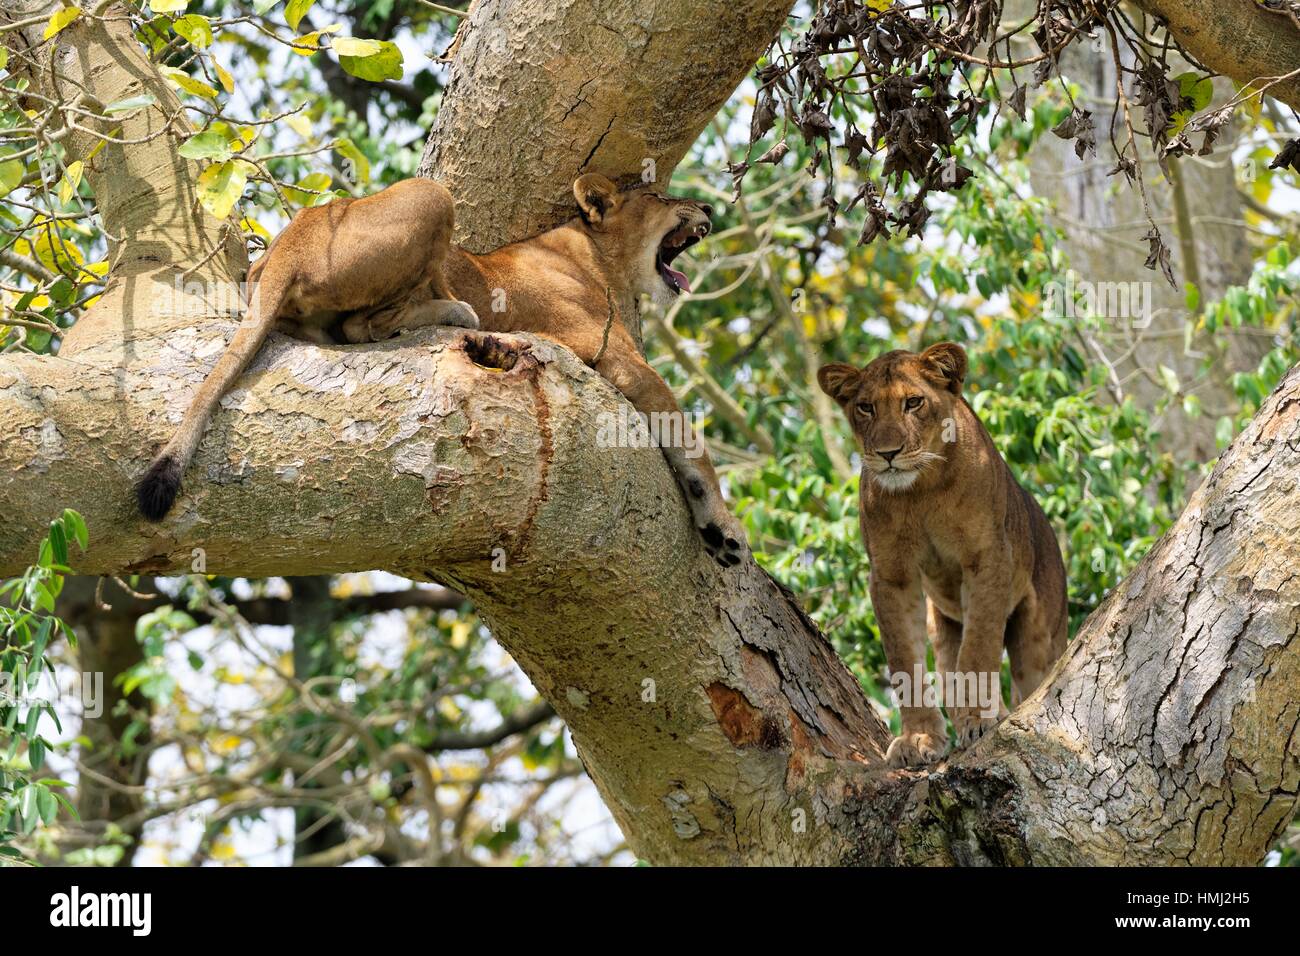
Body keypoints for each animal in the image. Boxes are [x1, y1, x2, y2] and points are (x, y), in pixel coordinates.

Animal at [136, 174, 747, 568]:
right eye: (662, 197)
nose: (711, 211)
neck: (601, 259)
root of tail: (292, 240)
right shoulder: (611, 356)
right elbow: (688, 436)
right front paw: (722, 527)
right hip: (430, 195)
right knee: (365, 325)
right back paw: (457, 311)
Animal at [818, 342, 1068, 767]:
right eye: (866, 408)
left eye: (913, 402)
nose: (887, 453)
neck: (921, 489)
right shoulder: (891, 576)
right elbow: (905, 659)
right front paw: (918, 738)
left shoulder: (987, 557)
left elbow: (980, 647)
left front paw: (980, 719)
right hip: (944, 624)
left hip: (1042, 633)